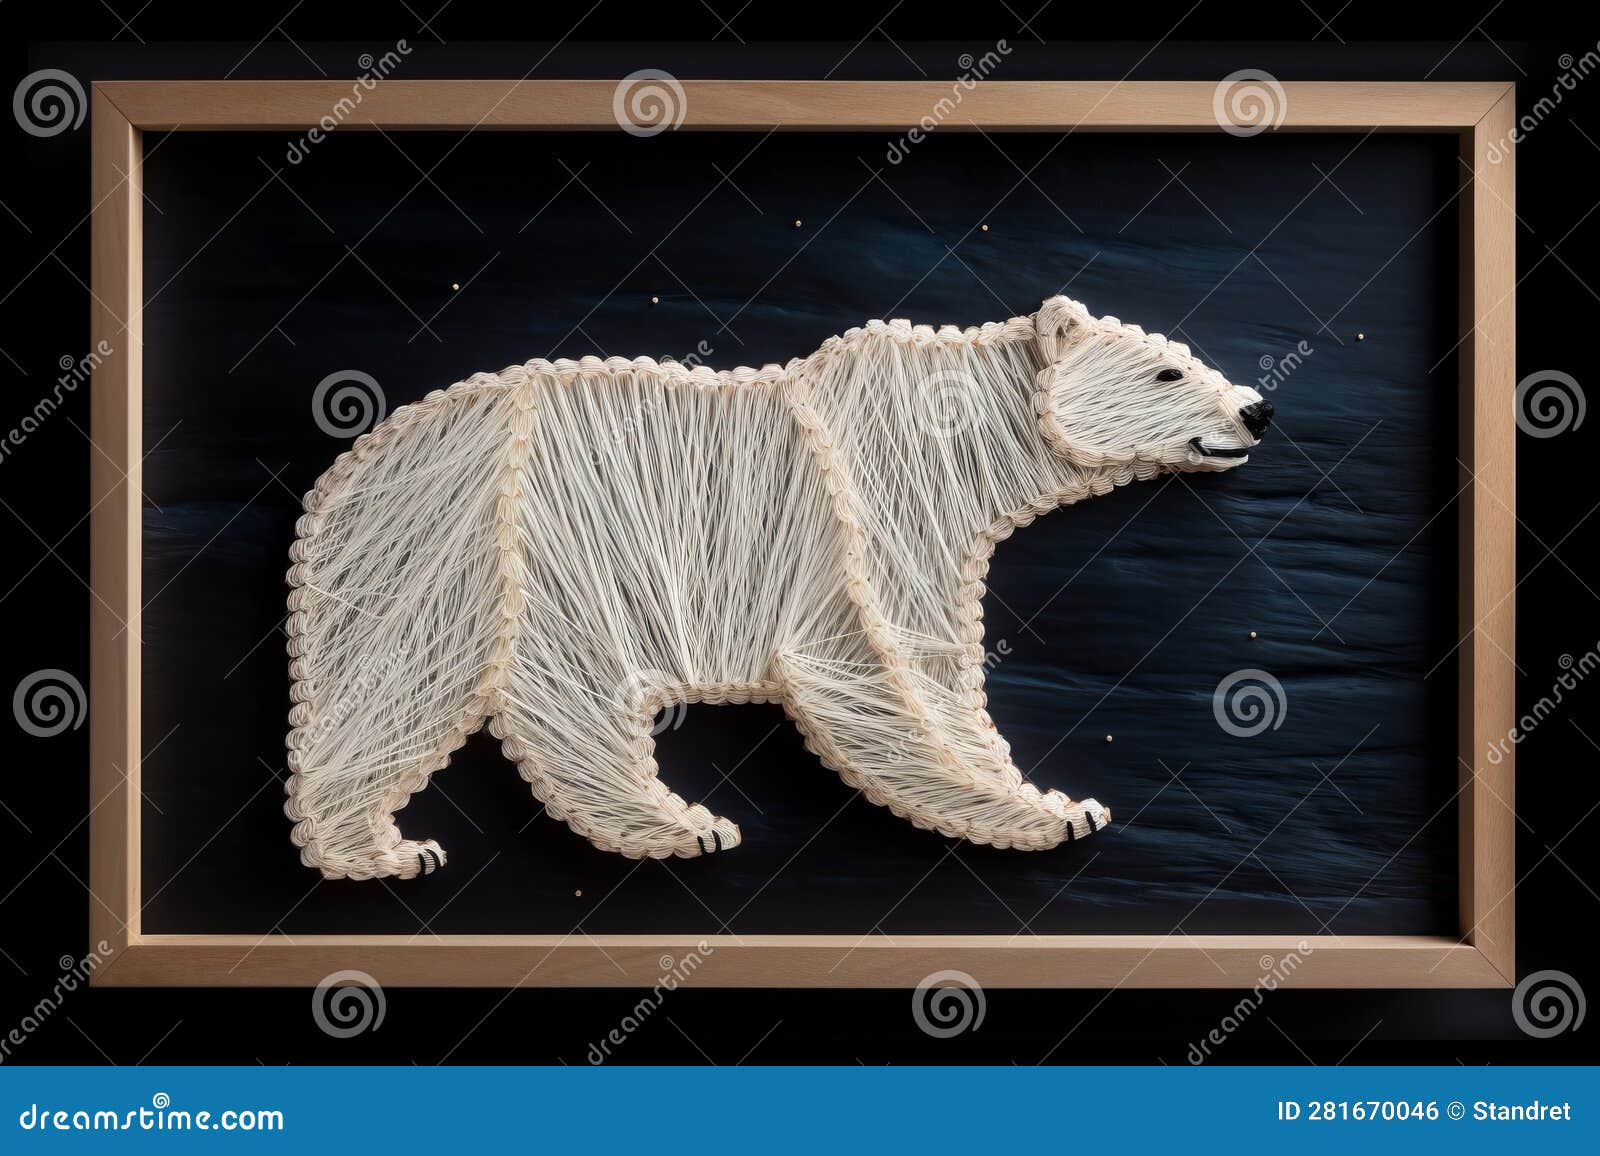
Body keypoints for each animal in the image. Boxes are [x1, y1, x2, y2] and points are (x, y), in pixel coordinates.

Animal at [283, 295, 1272, 880]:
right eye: (1167, 368)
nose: (1257, 408)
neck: (956, 430)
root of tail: (350, 472)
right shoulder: (861, 509)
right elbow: (860, 670)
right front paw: (1027, 812)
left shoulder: (930, 531)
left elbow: (938, 669)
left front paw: (1041, 798)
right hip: (475, 539)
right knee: (415, 682)